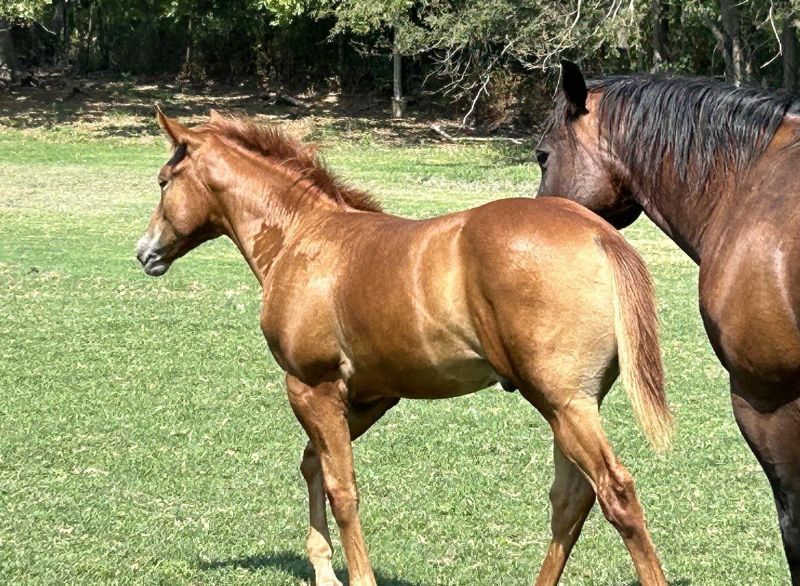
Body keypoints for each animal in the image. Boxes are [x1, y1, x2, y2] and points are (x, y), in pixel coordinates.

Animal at [135, 108, 673, 586]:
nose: (145, 252)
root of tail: (598, 234)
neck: (302, 237)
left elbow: (342, 488)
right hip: (568, 406)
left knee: (615, 493)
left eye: (163, 181)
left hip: (564, 403)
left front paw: (353, 575)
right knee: (571, 501)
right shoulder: (371, 394)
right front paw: (324, 569)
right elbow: (313, 464)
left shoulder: (311, 386)